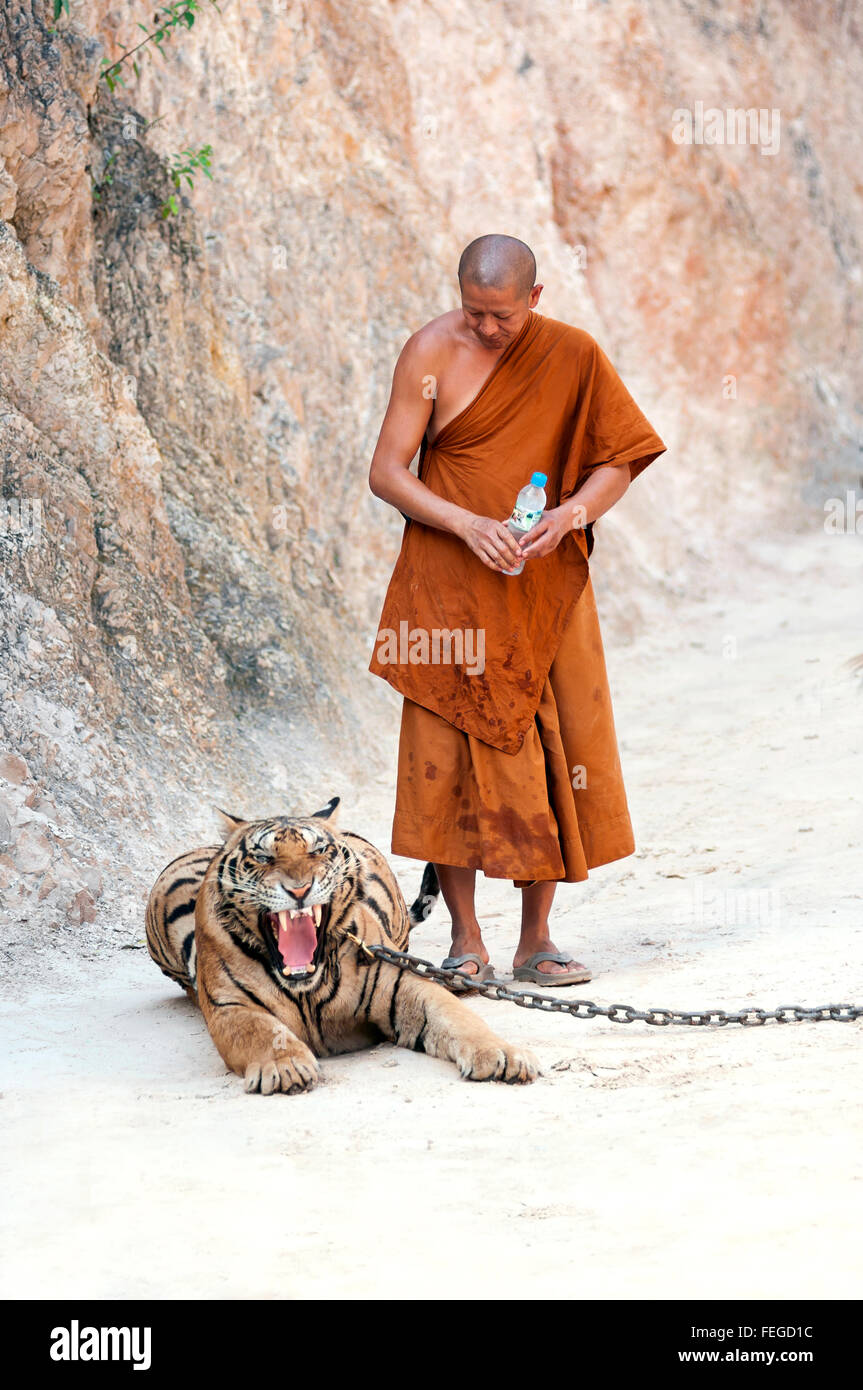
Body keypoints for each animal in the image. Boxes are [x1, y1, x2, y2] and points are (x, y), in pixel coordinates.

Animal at [145, 796, 539, 1093]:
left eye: (318, 850)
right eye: (263, 856)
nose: (299, 888)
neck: (305, 988)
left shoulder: (403, 983)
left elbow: (459, 1018)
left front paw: (502, 1055)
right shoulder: (231, 1006)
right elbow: (261, 1032)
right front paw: (286, 1066)